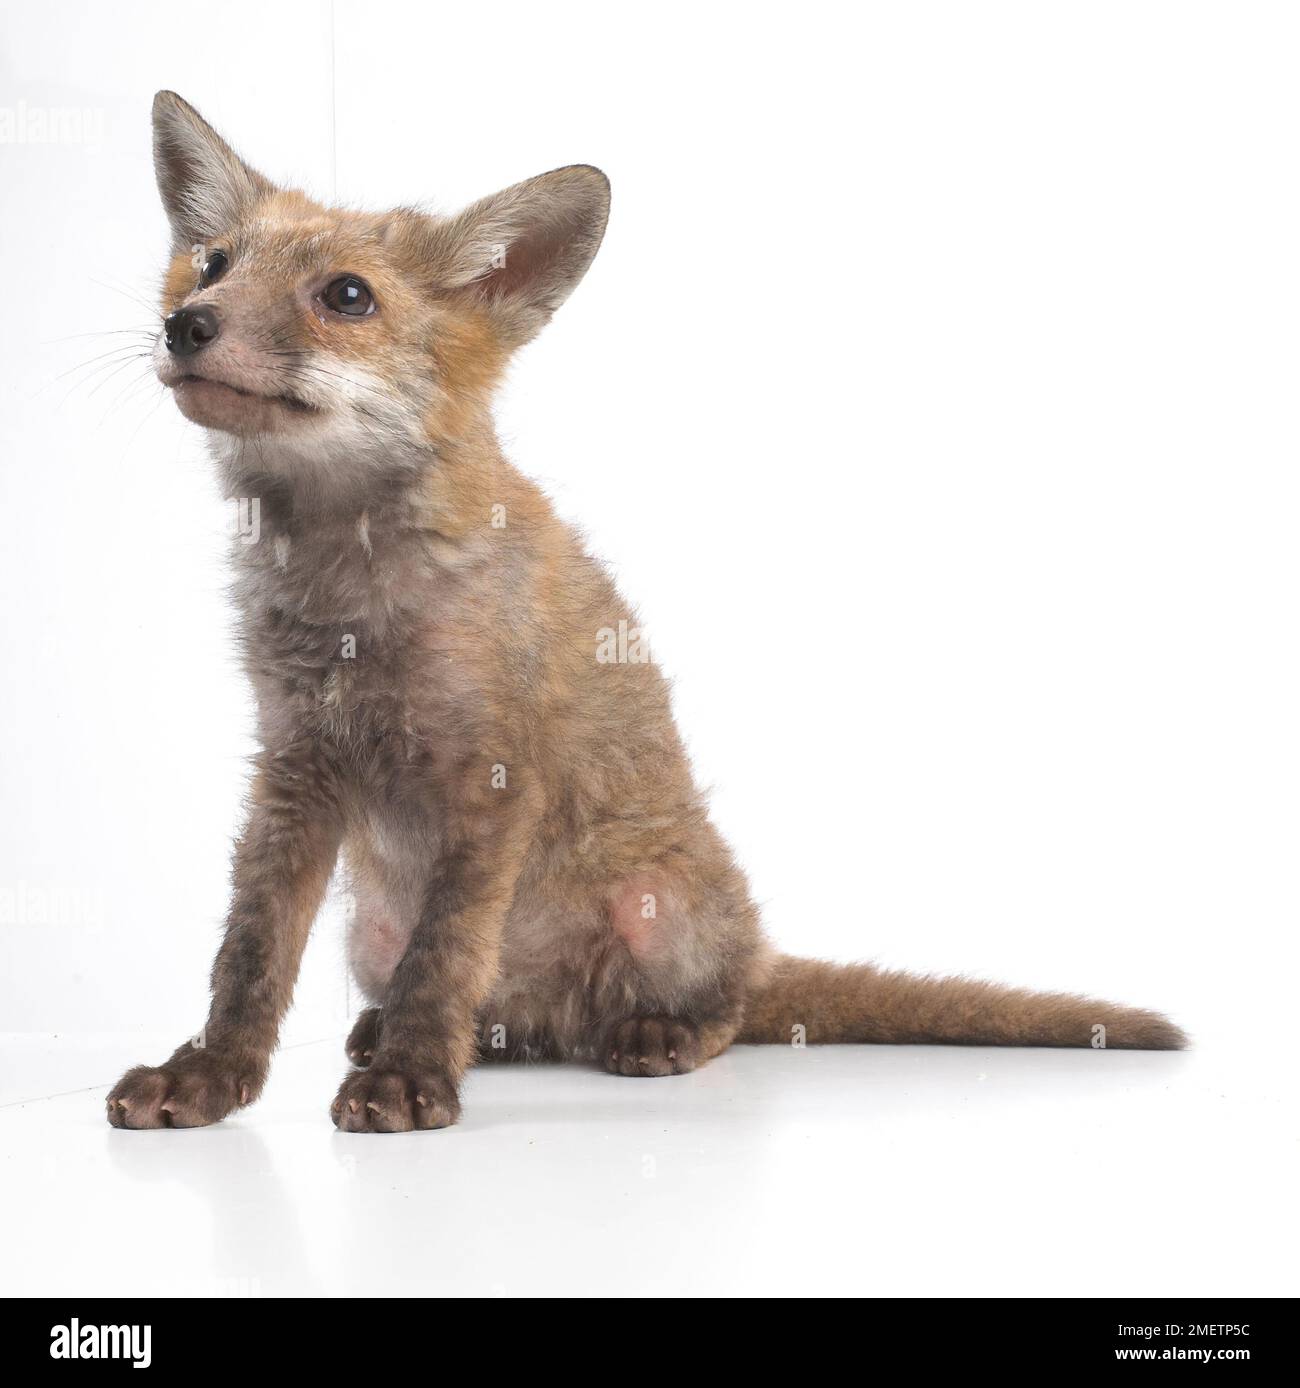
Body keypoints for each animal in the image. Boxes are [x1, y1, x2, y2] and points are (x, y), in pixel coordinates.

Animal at [106, 91, 1185, 1134]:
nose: (188, 324)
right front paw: (209, 1075)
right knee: (483, 1009)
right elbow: (248, 956)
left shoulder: (490, 779)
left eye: (346, 295)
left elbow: (446, 953)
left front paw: (411, 1080)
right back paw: (415, 1036)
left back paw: (650, 1032)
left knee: (723, 1007)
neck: (345, 596)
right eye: (212, 263)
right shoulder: (292, 767)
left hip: (660, 911)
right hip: (372, 933)